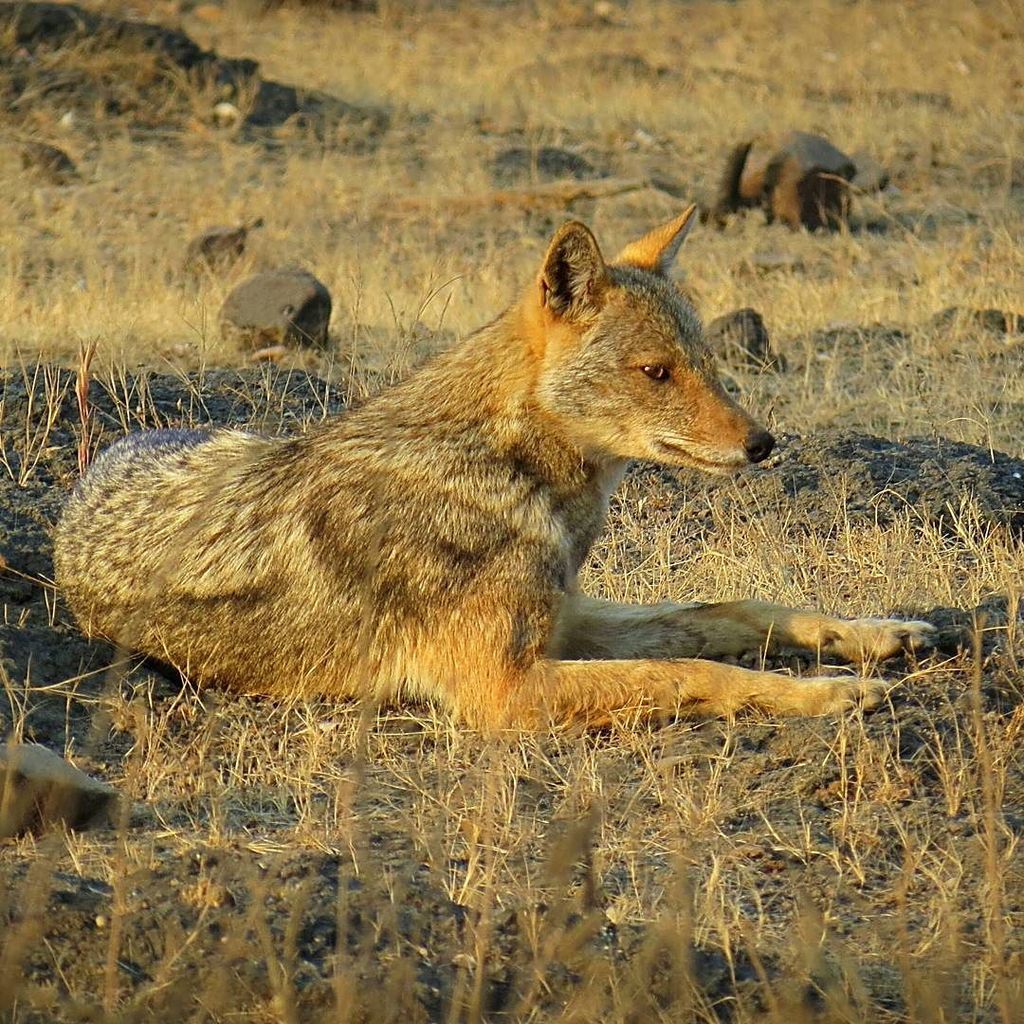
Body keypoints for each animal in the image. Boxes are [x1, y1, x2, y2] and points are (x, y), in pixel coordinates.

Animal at [54, 207, 934, 729]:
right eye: (657, 373)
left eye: (709, 366)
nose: (762, 444)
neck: (517, 478)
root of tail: (95, 471)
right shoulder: (502, 687)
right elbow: (693, 669)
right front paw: (829, 694)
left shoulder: (564, 616)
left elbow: (733, 611)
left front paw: (872, 633)